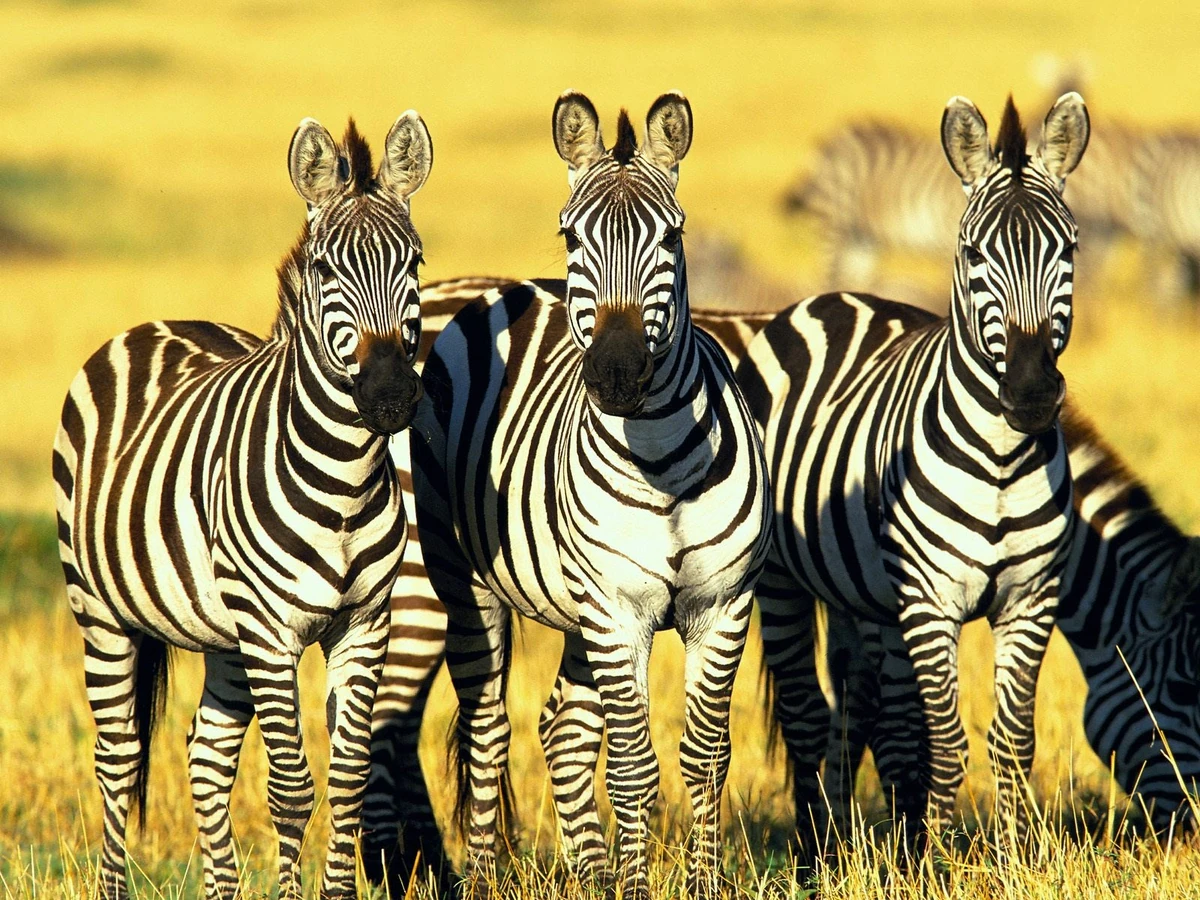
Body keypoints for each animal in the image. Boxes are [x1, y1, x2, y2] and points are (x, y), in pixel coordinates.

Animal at [52, 113, 433, 899]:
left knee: (206, 753)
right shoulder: (271, 629)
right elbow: (291, 788)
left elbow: (347, 782)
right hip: (100, 612)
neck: (345, 481)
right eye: (325, 271)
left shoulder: (363, 624)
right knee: (117, 757)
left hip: (221, 634)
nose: (389, 397)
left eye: (415, 261)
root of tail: (153, 324)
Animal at [408, 91, 771, 899]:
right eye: (571, 236)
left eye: (673, 235)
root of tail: (489, 289)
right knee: (489, 729)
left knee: (563, 730)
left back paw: (592, 875)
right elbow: (634, 766)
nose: (616, 374)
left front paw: (697, 884)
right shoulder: (617, 609)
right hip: (467, 581)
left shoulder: (721, 605)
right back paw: (489, 878)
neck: (662, 461)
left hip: (579, 606)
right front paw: (636, 889)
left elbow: (705, 757)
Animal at [737, 92, 1090, 860]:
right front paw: (938, 862)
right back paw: (813, 855)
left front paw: (1013, 860)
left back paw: (848, 845)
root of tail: (831, 297)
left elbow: (1012, 741)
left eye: (1070, 248)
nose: (1030, 393)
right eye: (973, 252)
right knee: (807, 716)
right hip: (779, 582)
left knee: (858, 707)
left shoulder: (1032, 599)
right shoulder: (931, 601)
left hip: (860, 594)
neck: (1001, 460)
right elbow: (947, 743)